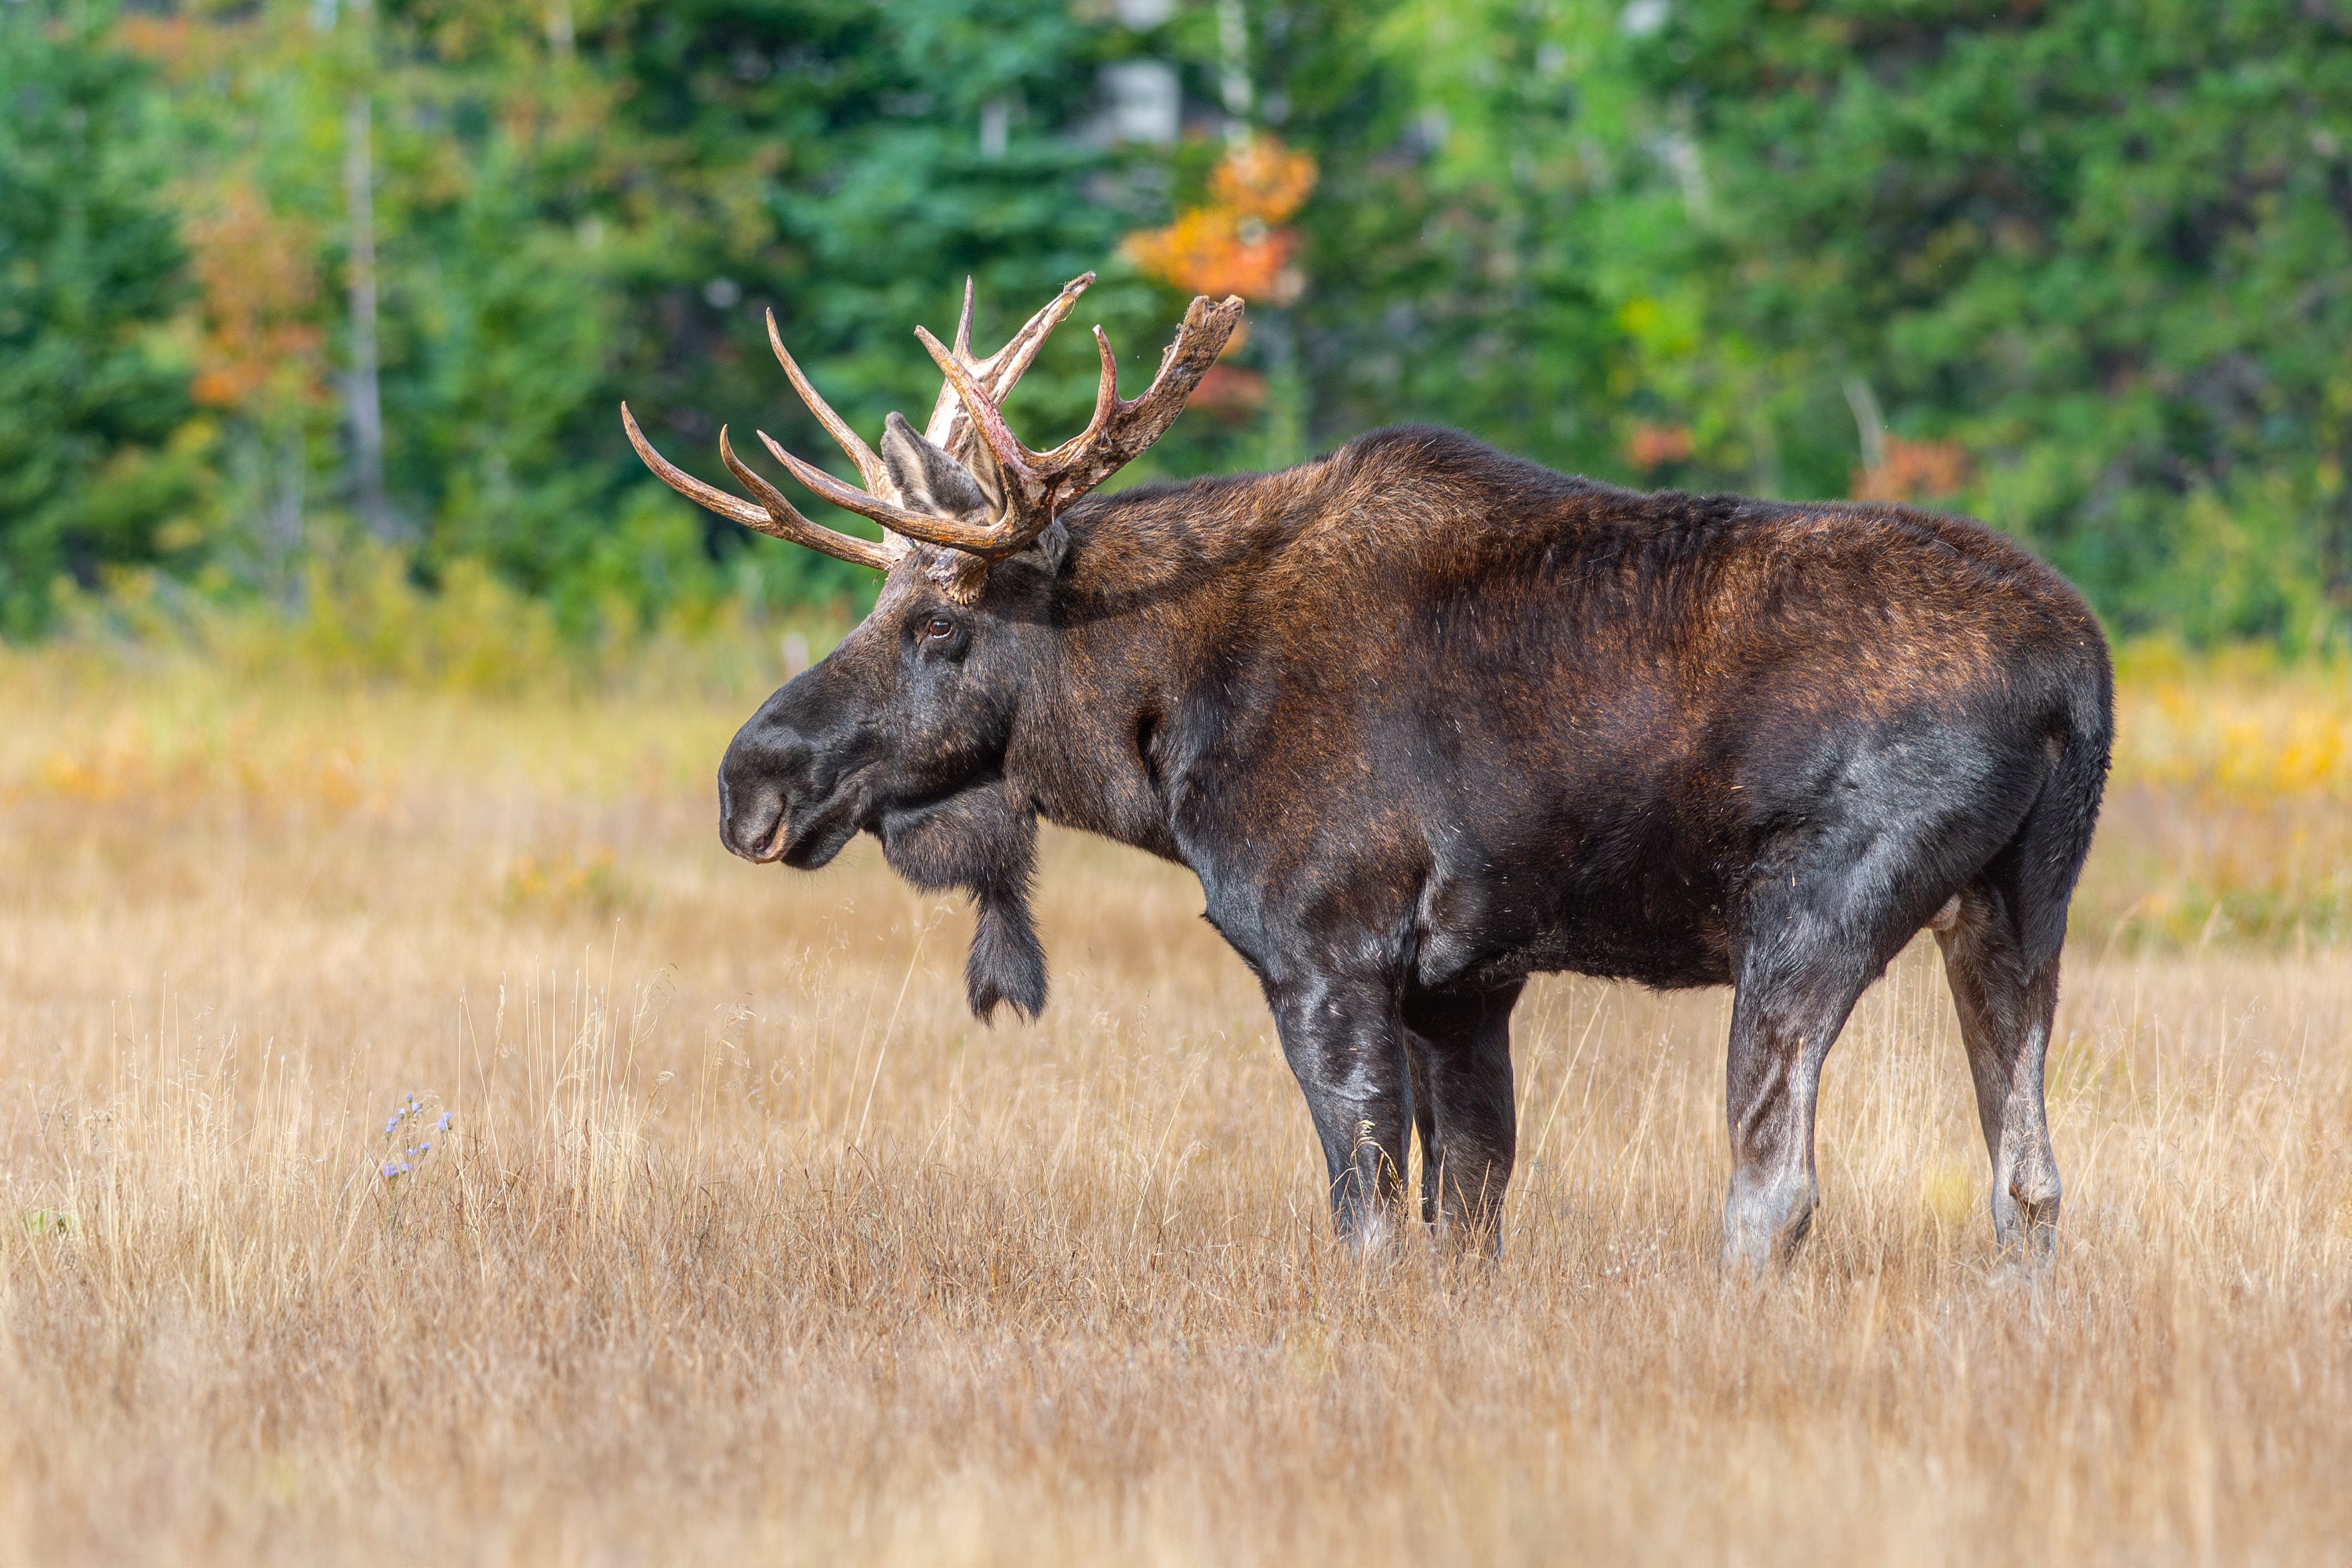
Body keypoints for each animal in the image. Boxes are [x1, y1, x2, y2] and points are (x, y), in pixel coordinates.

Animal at [622, 274, 2112, 1271]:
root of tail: (2078, 678)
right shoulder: (1466, 983)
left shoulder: (1325, 951)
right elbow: (1468, 1217)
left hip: (1811, 916)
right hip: (2016, 908)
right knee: (2030, 1181)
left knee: (1775, 1188)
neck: (1157, 732)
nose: (751, 784)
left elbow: (1369, 1217)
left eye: (940, 628)